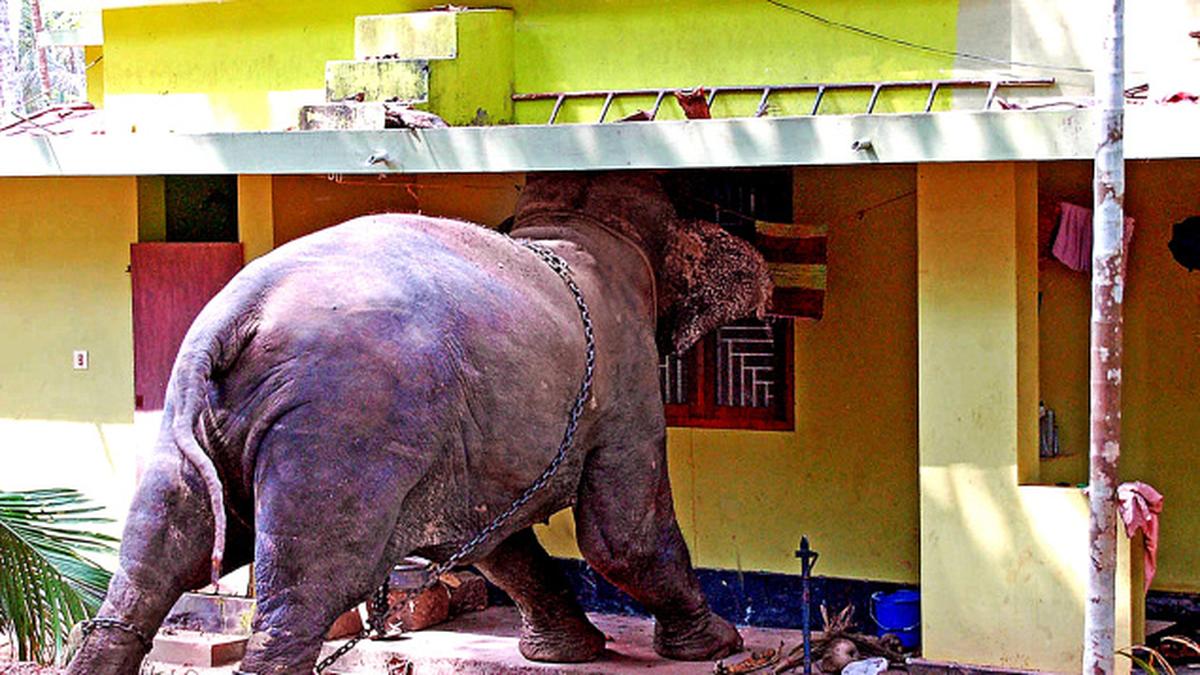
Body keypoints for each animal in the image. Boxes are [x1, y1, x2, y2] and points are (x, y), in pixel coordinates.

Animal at [66, 171, 773, 674]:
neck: (574, 231)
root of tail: (236, 315)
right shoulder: (626, 380)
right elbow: (622, 534)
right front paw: (718, 645)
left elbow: (493, 540)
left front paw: (565, 654)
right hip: (339, 435)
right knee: (300, 601)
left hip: (193, 426)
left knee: (149, 569)